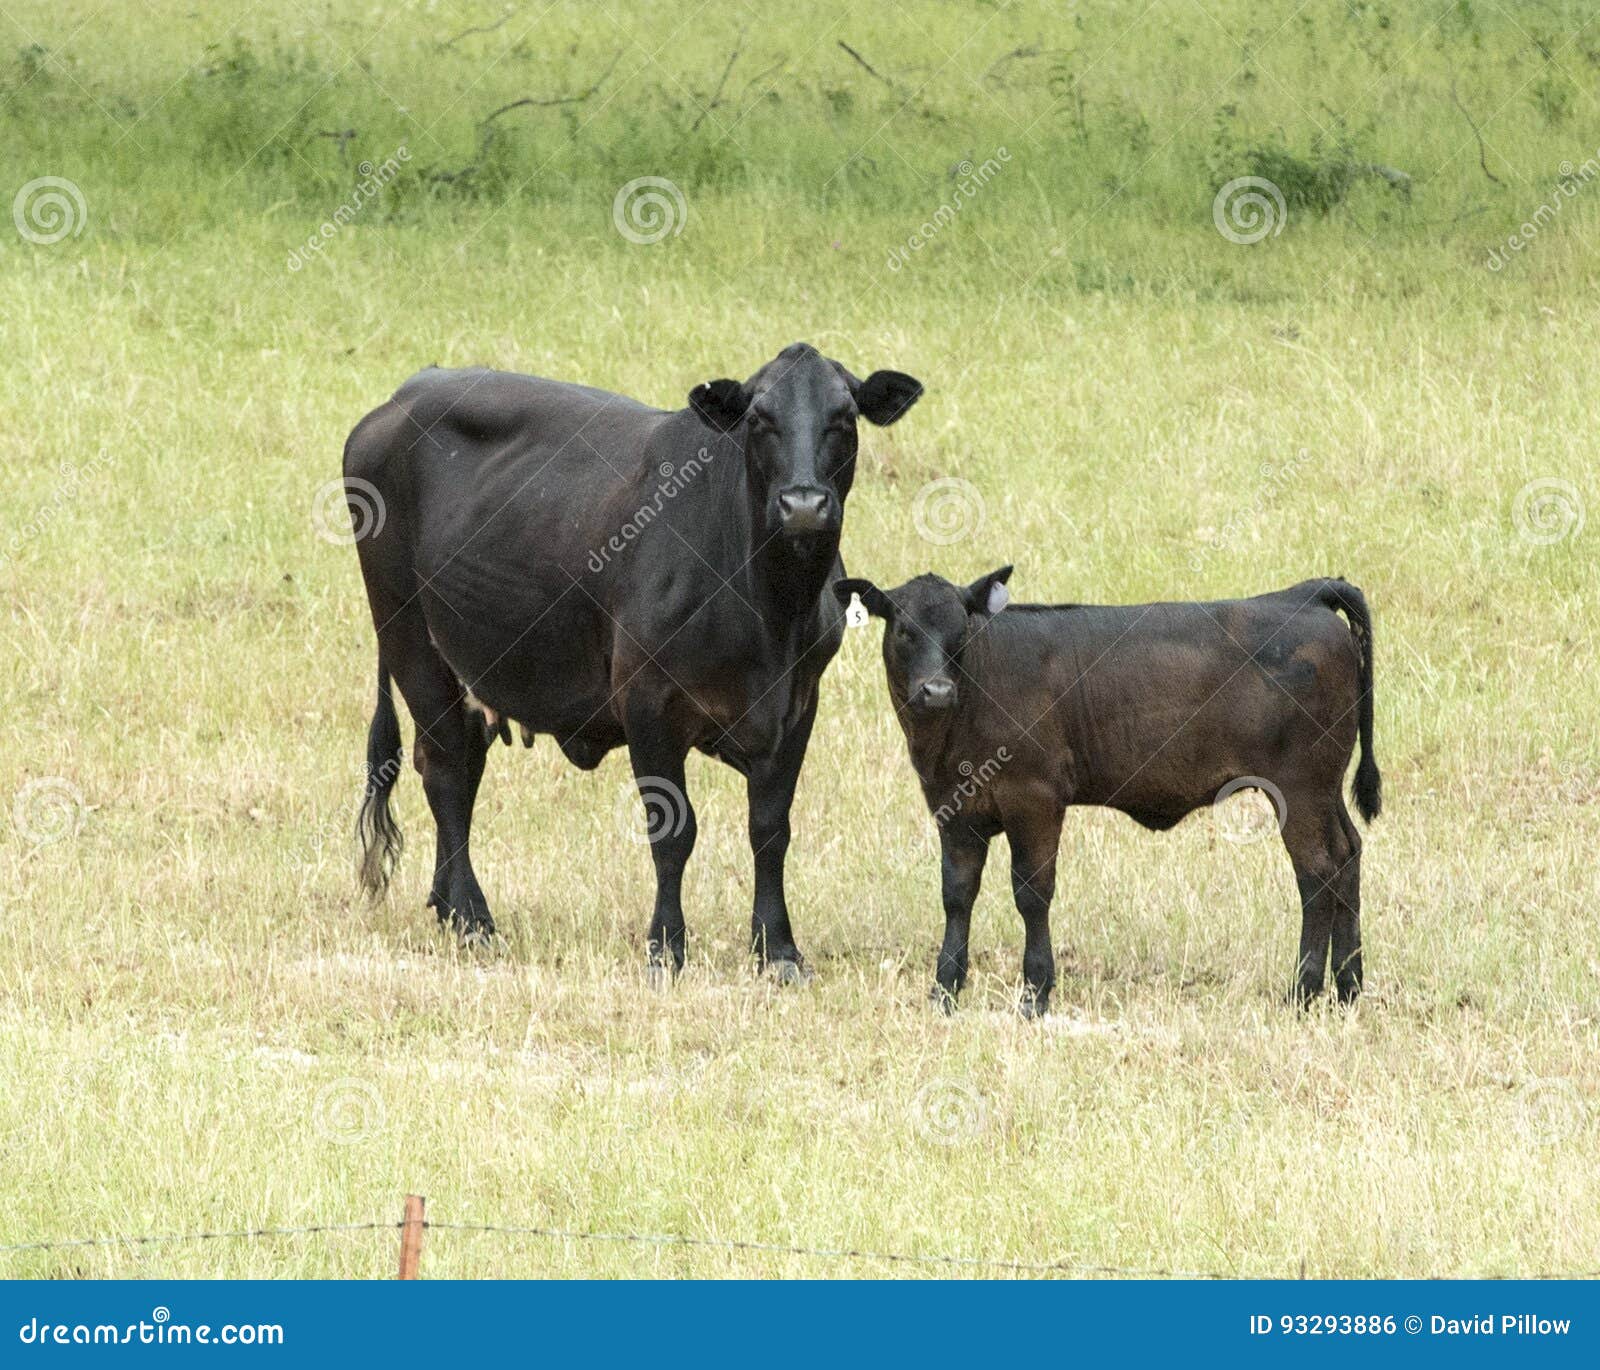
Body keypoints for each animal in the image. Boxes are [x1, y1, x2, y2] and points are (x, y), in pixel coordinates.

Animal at [345, 343, 923, 981]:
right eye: (758, 418)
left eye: (844, 417)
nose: (802, 505)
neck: (770, 610)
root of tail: (407, 392)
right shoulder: (648, 703)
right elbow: (674, 832)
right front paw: (666, 947)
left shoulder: (798, 706)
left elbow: (770, 829)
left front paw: (778, 950)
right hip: (409, 641)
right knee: (446, 774)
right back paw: (474, 920)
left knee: (458, 767)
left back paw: (449, 906)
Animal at [832, 567, 1380, 1015]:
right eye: (904, 630)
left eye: (961, 630)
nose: (937, 691)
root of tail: (1300, 595)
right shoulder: (954, 808)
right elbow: (957, 894)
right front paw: (944, 991)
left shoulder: (1035, 799)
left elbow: (1032, 893)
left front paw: (1035, 994)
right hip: (1324, 788)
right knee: (1348, 854)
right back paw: (1348, 988)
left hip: (1299, 787)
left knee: (1318, 872)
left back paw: (1303, 993)